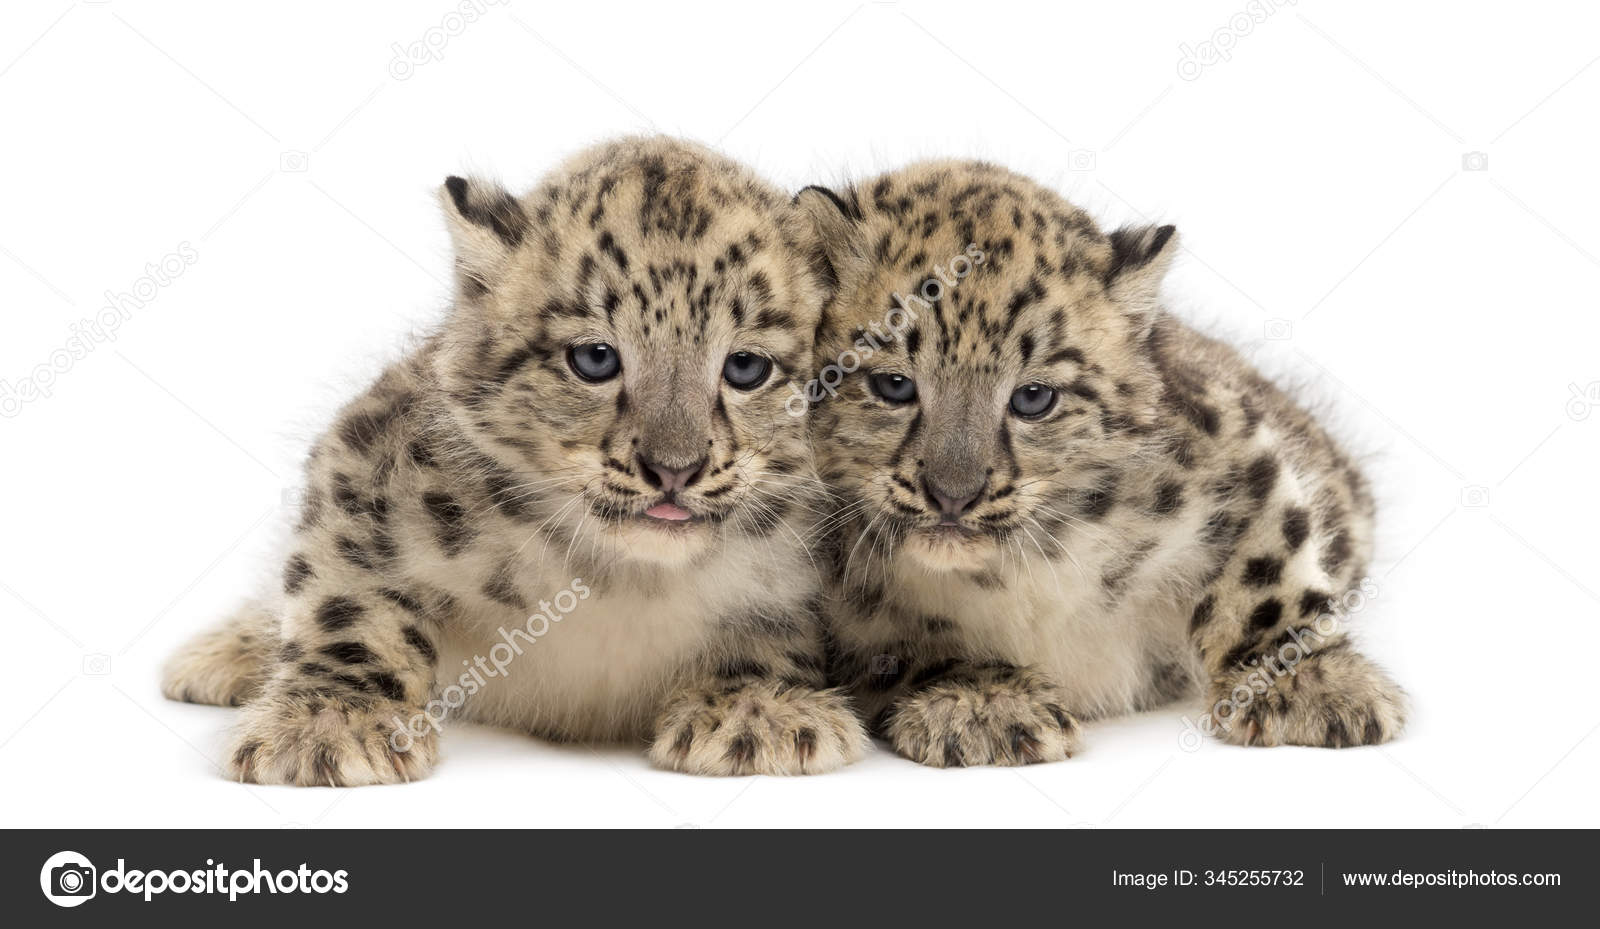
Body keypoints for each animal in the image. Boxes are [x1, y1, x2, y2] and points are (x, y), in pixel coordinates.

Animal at [161, 136, 868, 784]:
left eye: (746, 367)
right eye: (594, 358)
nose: (675, 468)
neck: (622, 582)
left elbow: (770, 624)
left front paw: (758, 711)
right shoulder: (363, 460)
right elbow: (345, 597)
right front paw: (327, 723)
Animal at [794, 160, 1406, 767]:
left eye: (1033, 398)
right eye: (894, 385)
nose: (953, 494)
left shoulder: (1230, 445)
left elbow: (1267, 569)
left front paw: (1313, 684)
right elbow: (901, 648)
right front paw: (983, 701)